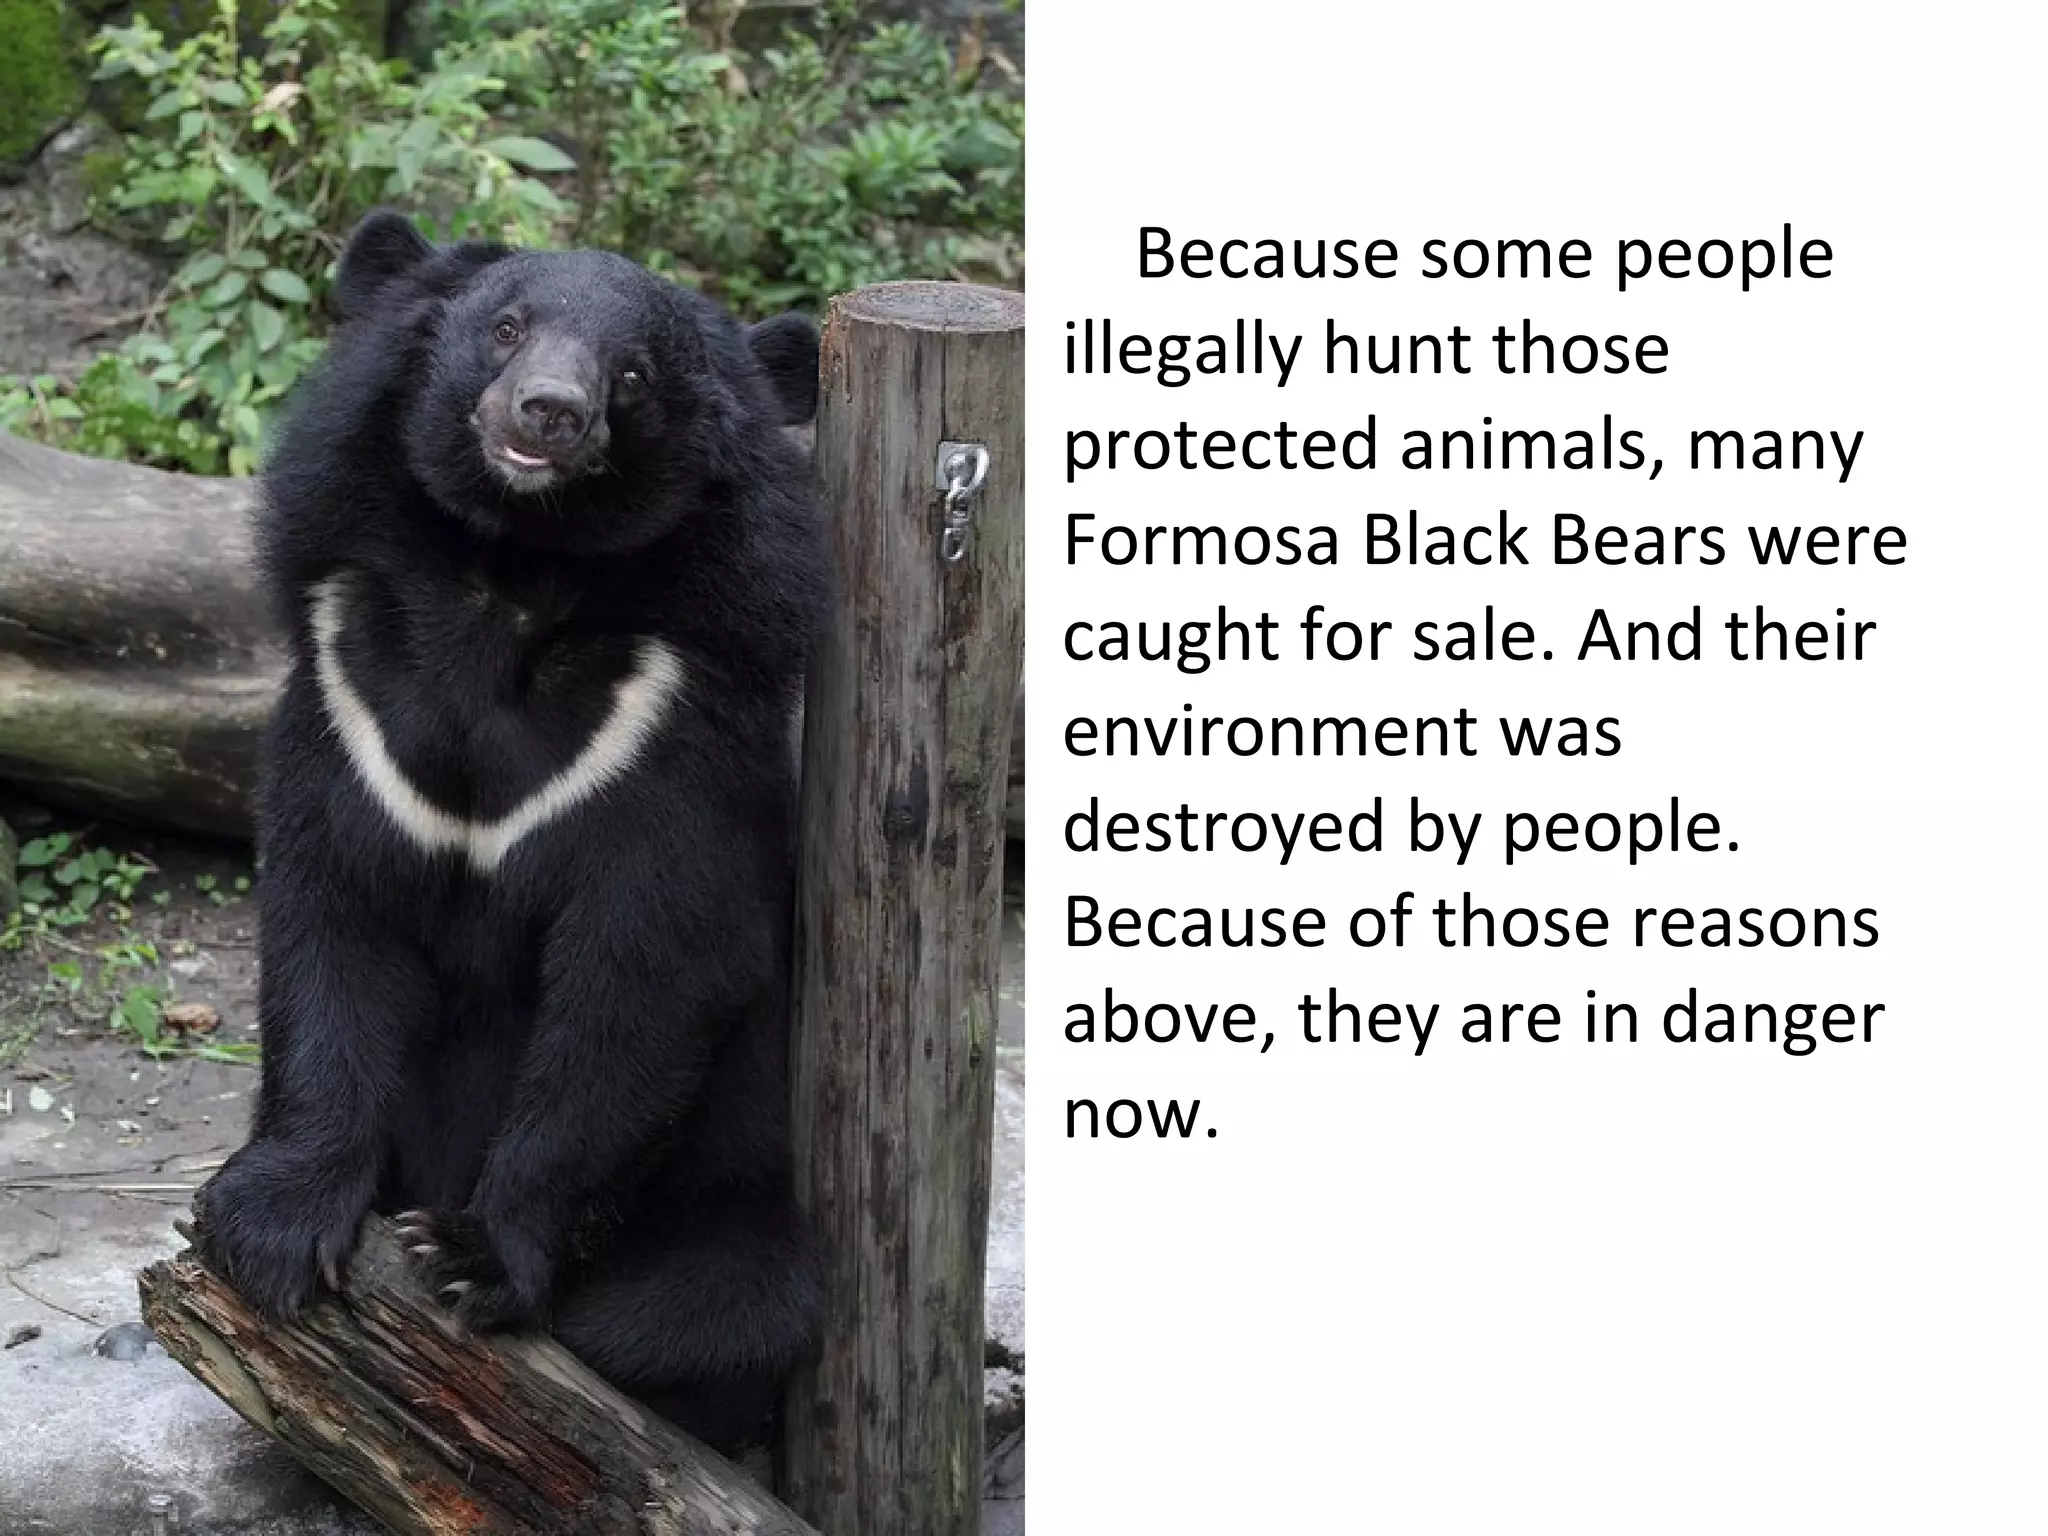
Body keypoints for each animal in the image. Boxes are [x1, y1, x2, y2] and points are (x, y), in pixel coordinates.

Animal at [195, 209, 829, 1453]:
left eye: (633, 375)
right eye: (505, 325)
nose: (547, 413)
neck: (514, 569)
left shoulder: (665, 730)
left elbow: (638, 981)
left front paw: (467, 1253)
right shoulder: (351, 704)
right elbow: (329, 925)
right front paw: (268, 1228)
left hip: (731, 1192)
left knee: (722, 1306)